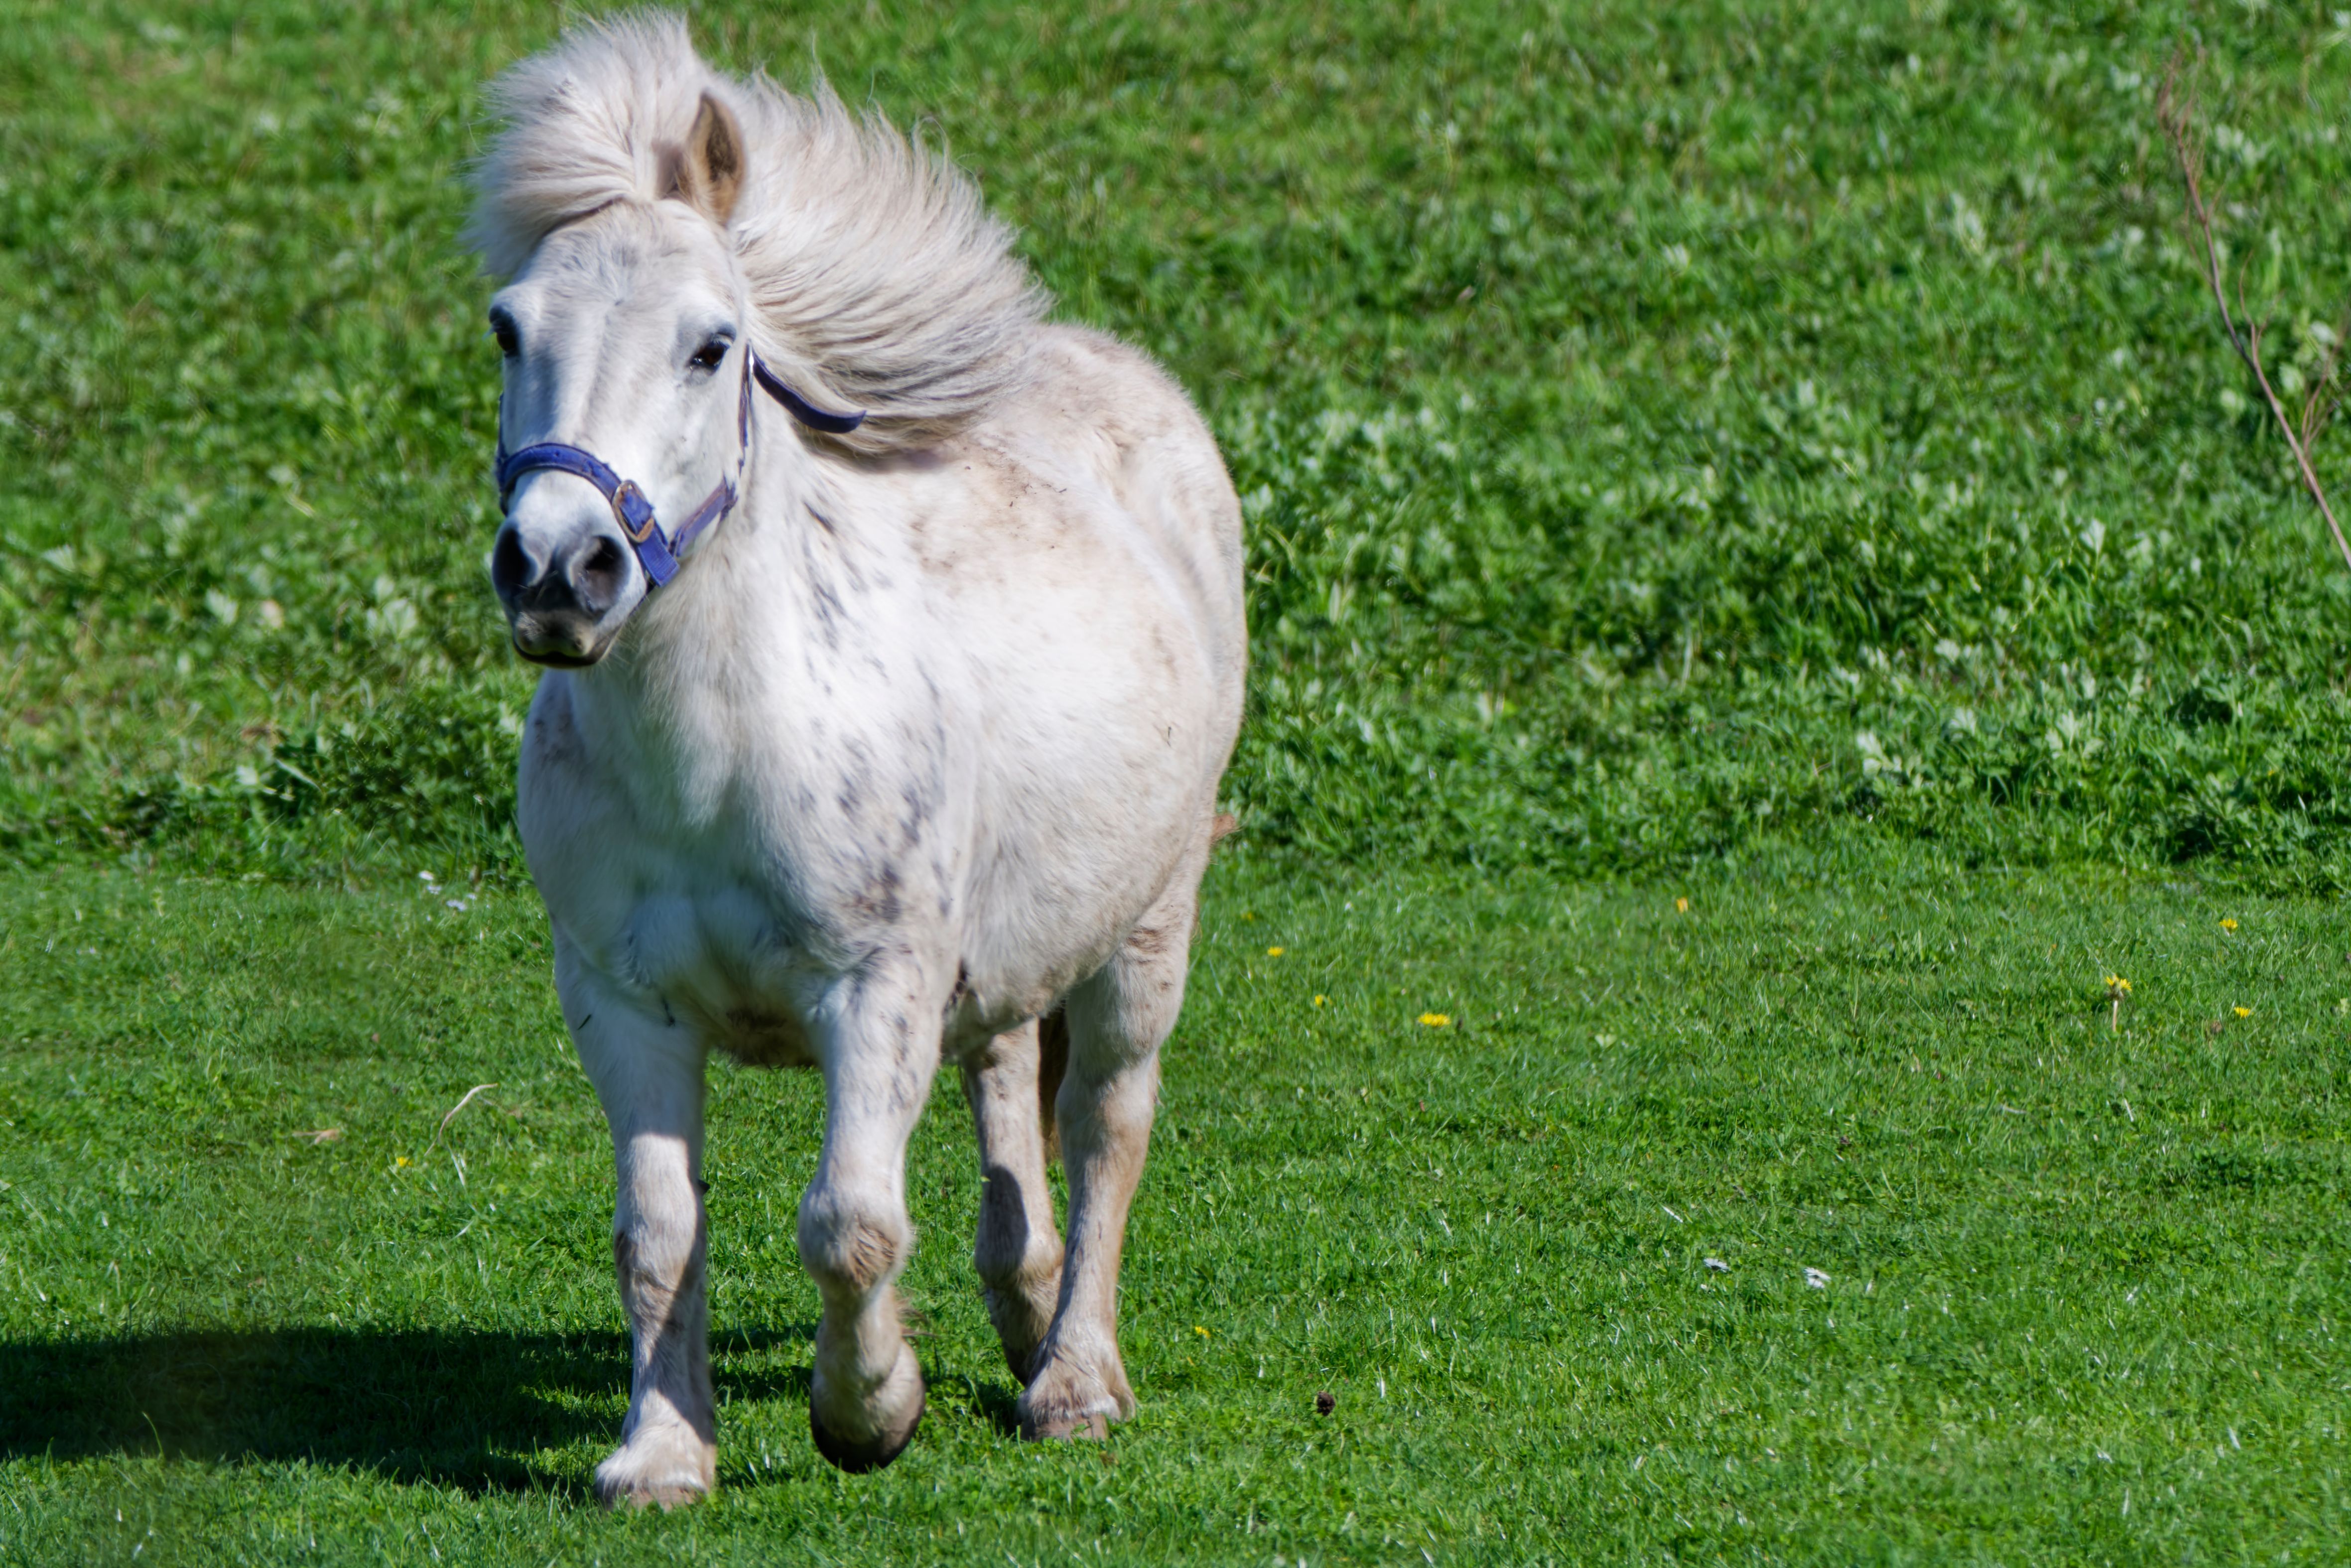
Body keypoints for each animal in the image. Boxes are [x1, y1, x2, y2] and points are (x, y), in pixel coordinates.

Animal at [468, 14, 1245, 1506]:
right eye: (510, 325)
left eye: (711, 346)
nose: (557, 569)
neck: (720, 762)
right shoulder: (621, 1003)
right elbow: (657, 1231)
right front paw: (661, 1452)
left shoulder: (874, 986)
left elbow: (850, 1221)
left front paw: (870, 1407)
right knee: (1009, 1088)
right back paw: (1023, 1306)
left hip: (1148, 927)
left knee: (1107, 1123)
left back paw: (1073, 1378)